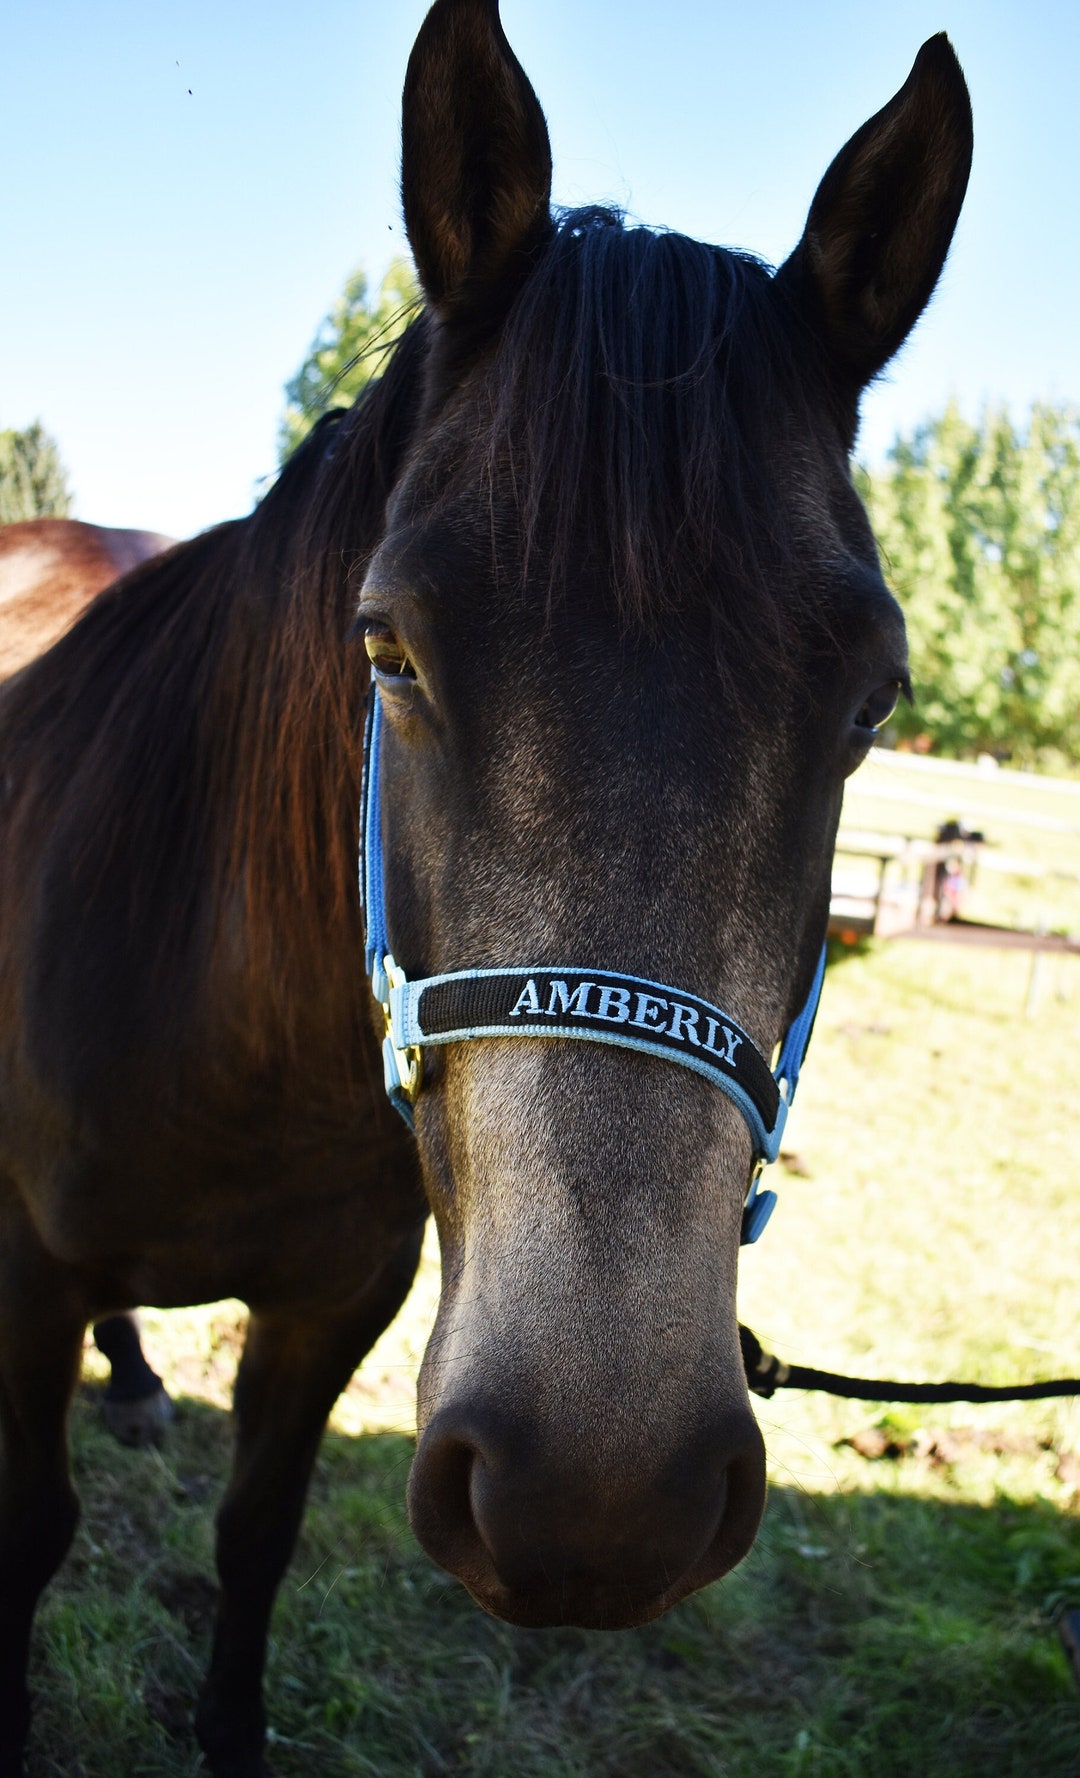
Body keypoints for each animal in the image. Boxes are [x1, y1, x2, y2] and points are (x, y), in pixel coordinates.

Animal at [0, 1, 971, 1771]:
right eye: (387, 645)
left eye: (876, 699)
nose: (602, 1498)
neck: (230, 1037)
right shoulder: (24, 1275)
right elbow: (32, 1531)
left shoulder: (340, 1305)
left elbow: (257, 1537)